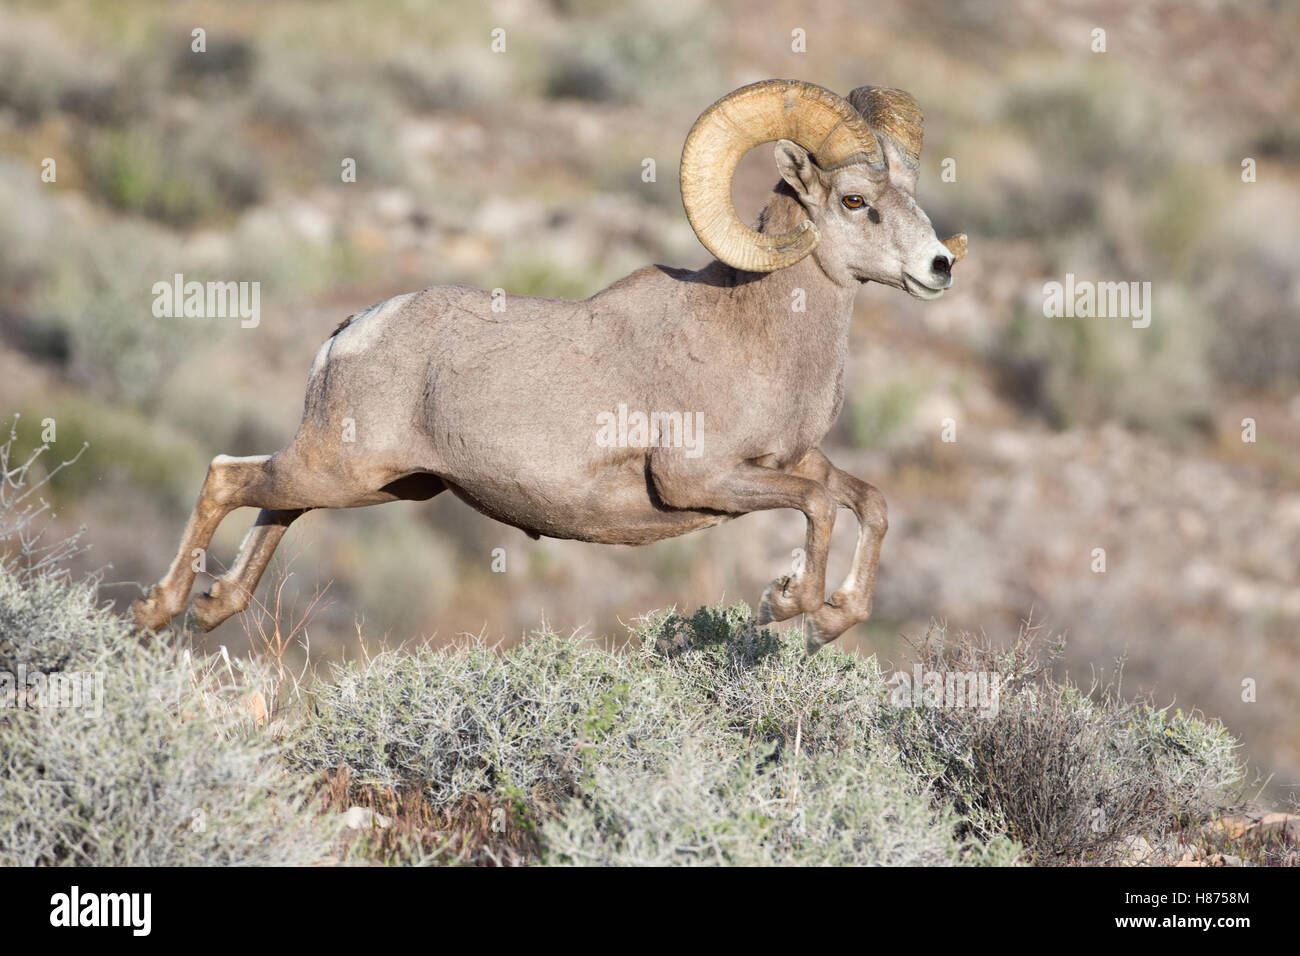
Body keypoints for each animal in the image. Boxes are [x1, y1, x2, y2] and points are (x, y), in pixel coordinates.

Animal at [132, 79, 966, 653]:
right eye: (855, 201)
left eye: (911, 196)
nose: (941, 266)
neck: (755, 333)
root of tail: (353, 331)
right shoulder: (703, 479)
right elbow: (822, 507)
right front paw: (789, 604)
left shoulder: (793, 463)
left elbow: (867, 502)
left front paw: (833, 619)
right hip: (342, 469)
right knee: (228, 478)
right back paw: (159, 610)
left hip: (377, 483)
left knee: (276, 504)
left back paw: (212, 608)